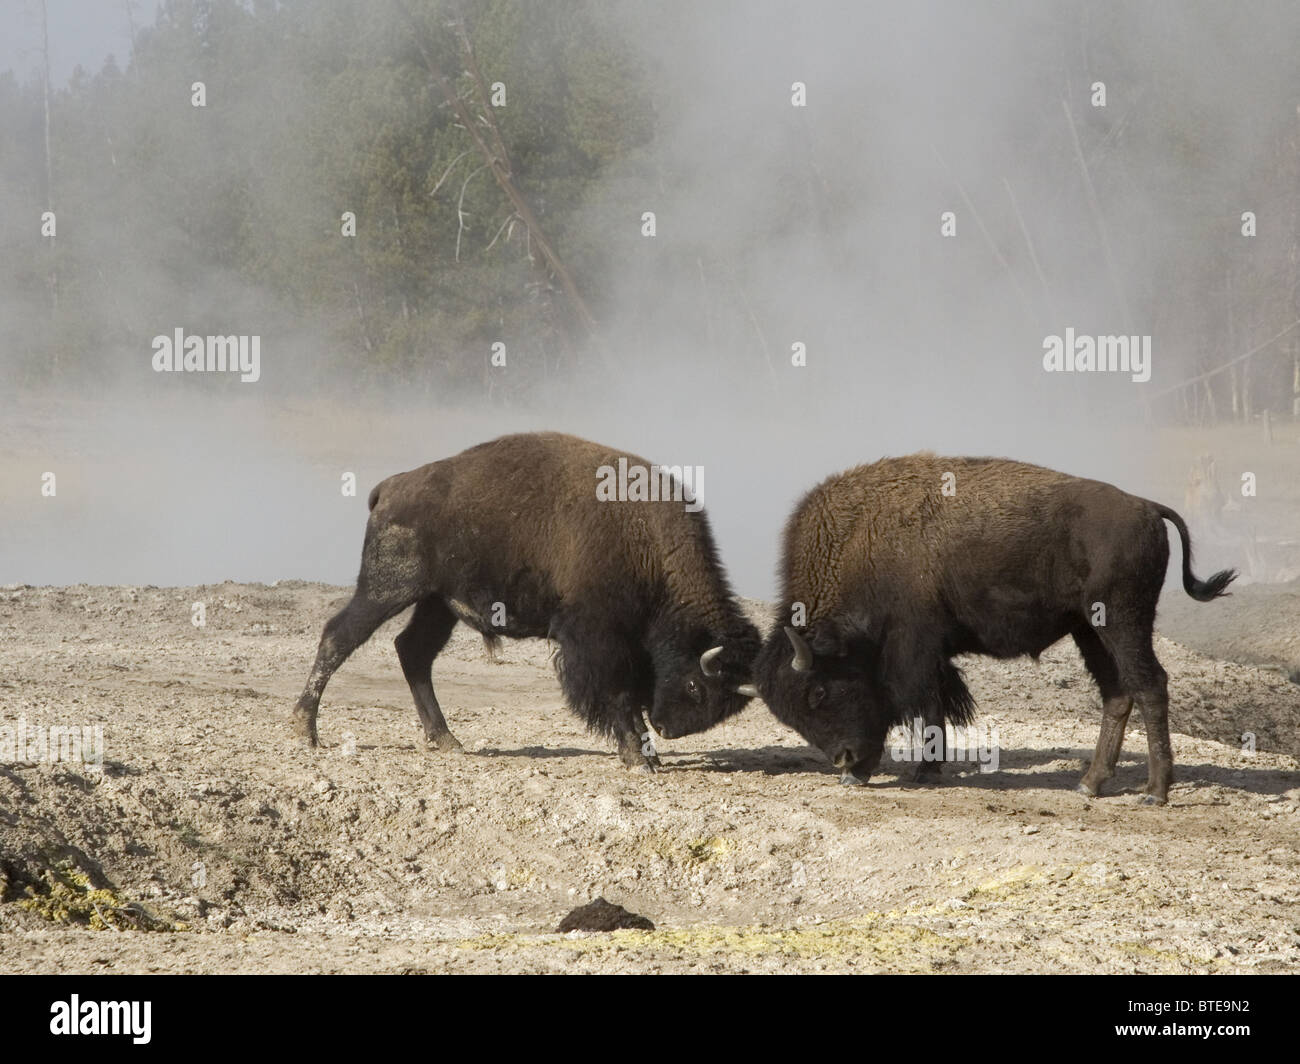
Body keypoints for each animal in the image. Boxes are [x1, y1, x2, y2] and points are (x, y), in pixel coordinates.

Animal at [293, 432, 760, 770]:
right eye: (697, 685)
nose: (667, 728)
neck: (650, 547)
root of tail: (391, 487)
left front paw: (648, 753)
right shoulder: (598, 640)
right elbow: (618, 694)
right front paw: (638, 757)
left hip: (437, 604)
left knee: (413, 652)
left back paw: (447, 740)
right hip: (387, 588)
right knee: (340, 637)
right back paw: (305, 730)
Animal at [754, 454, 1236, 804]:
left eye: (818, 692)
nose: (845, 760)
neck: (861, 542)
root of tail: (1148, 508)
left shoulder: (913, 649)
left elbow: (921, 703)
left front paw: (912, 771)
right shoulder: (932, 656)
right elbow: (932, 705)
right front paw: (914, 770)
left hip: (1123, 622)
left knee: (1150, 685)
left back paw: (1155, 792)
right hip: (1090, 630)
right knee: (1117, 694)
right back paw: (1090, 783)